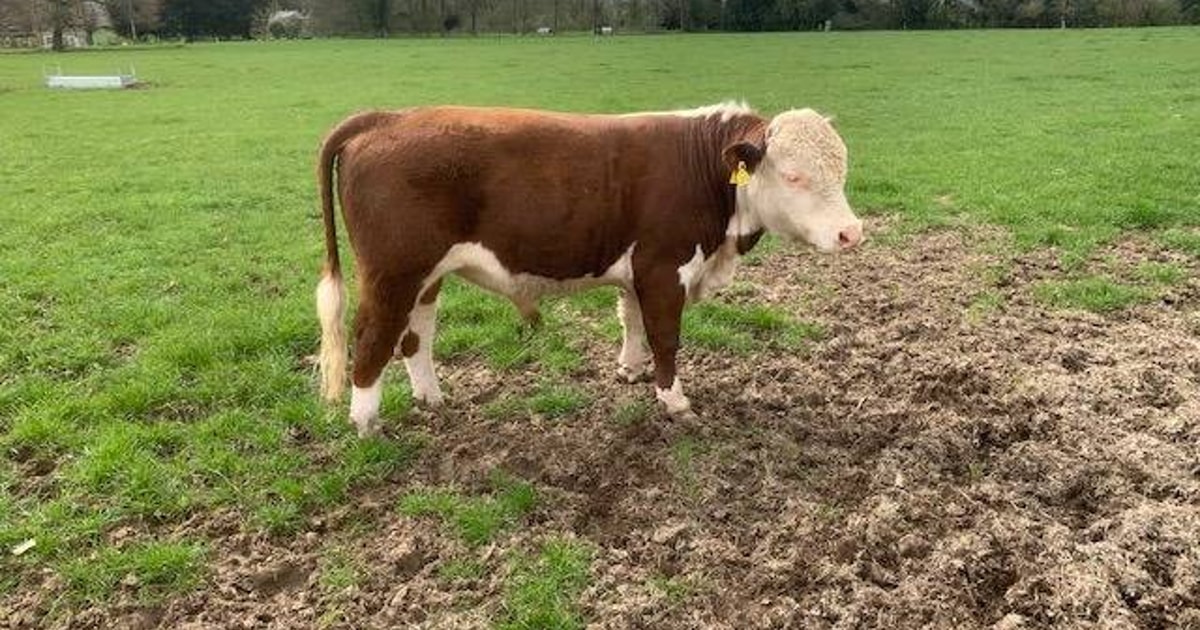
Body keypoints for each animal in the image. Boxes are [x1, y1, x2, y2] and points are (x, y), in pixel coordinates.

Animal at [315, 102, 863, 437]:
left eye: (842, 169)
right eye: (793, 175)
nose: (851, 233)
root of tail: (390, 118)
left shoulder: (639, 270)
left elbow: (632, 320)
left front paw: (630, 370)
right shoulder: (664, 268)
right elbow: (666, 335)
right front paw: (674, 400)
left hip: (425, 276)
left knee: (416, 335)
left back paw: (431, 397)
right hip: (393, 273)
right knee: (373, 337)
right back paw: (367, 424)